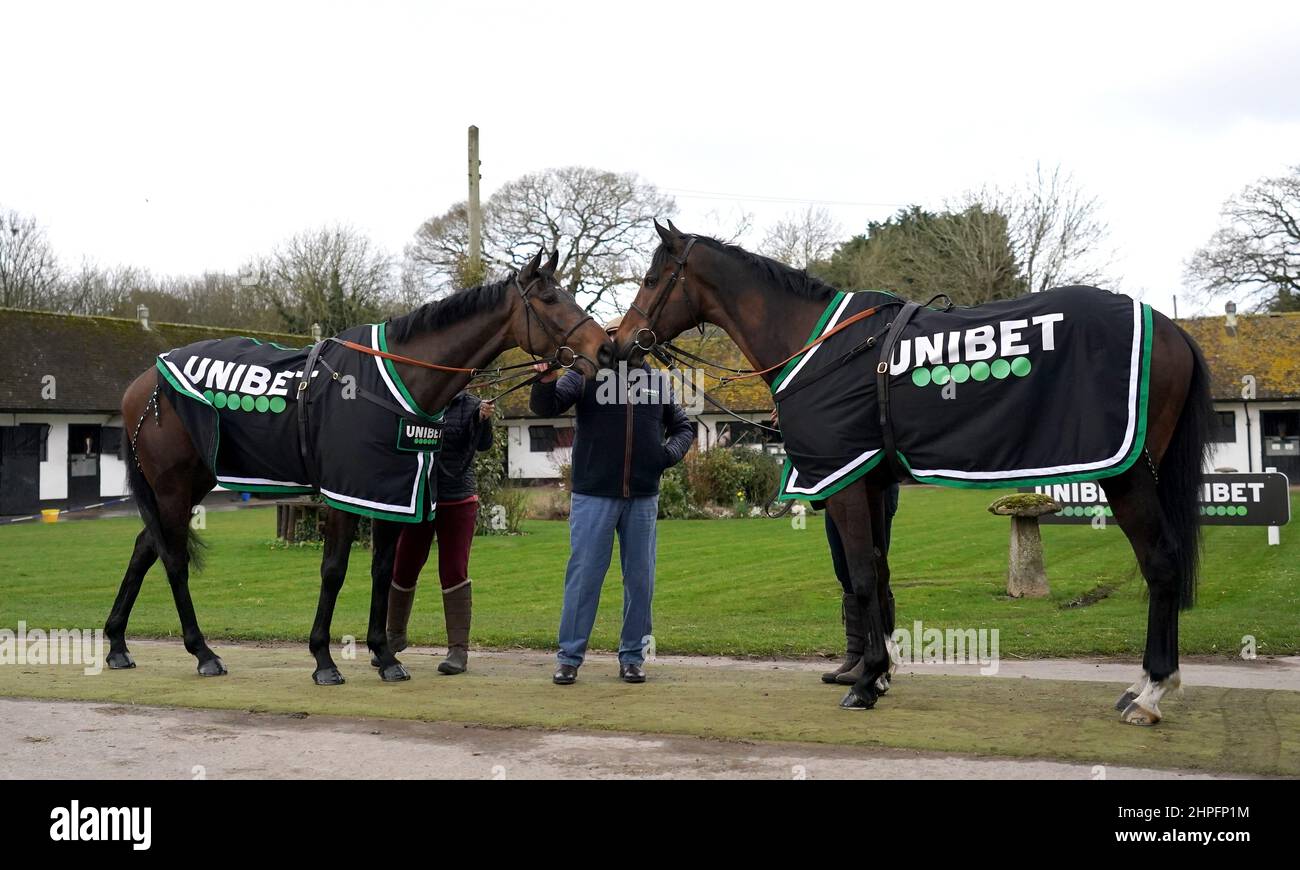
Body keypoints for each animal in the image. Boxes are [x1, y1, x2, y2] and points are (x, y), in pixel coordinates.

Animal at [106, 249, 615, 685]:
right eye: (549, 299)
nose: (605, 350)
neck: (393, 381)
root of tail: (142, 384)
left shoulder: (388, 492)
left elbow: (383, 570)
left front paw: (385, 655)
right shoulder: (344, 494)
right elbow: (334, 570)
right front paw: (324, 659)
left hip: (190, 484)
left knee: (143, 548)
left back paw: (116, 644)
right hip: (173, 487)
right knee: (172, 559)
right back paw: (202, 652)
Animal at [614, 222, 1213, 726]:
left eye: (651, 278)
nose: (622, 342)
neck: (819, 345)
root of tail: (1171, 329)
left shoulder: (847, 483)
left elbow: (859, 575)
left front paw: (866, 683)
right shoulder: (871, 484)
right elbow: (878, 575)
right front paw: (876, 674)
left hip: (1127, 473)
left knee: (1161, 564)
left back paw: (1152, 692)